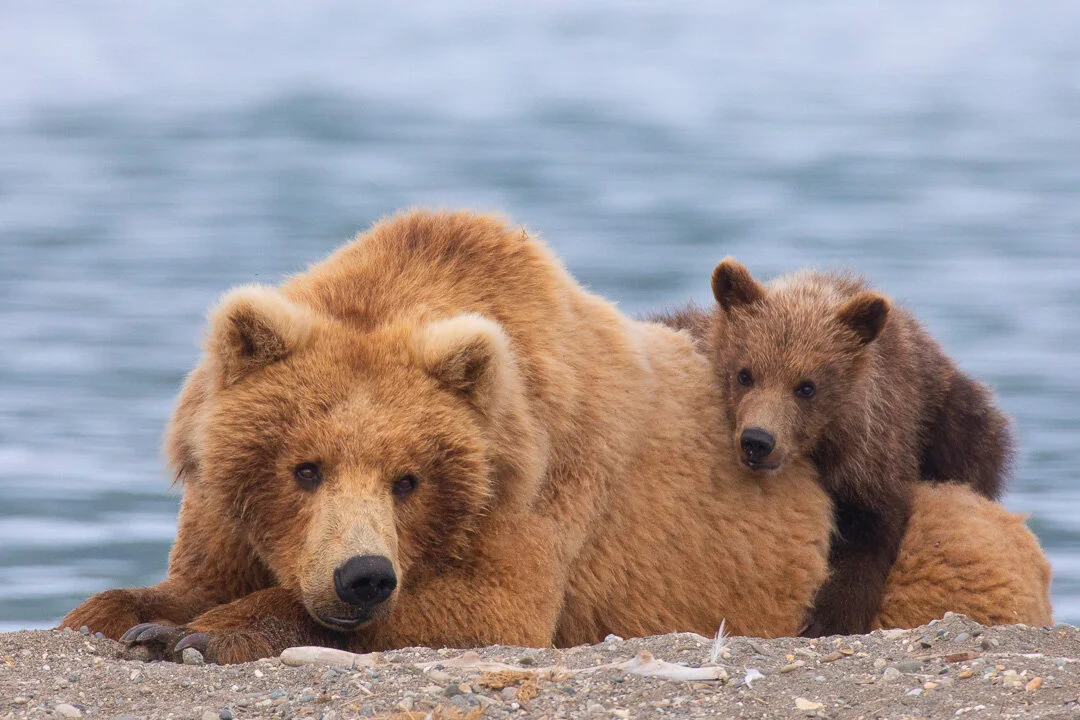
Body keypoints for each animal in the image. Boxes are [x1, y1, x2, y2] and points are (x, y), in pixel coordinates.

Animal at [662, 258, 1016, 637]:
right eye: (745, 374)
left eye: (806, 387)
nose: (757, 441)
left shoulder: (877, 445)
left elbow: (870, 532)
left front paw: (828, 618)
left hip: (956, 425)